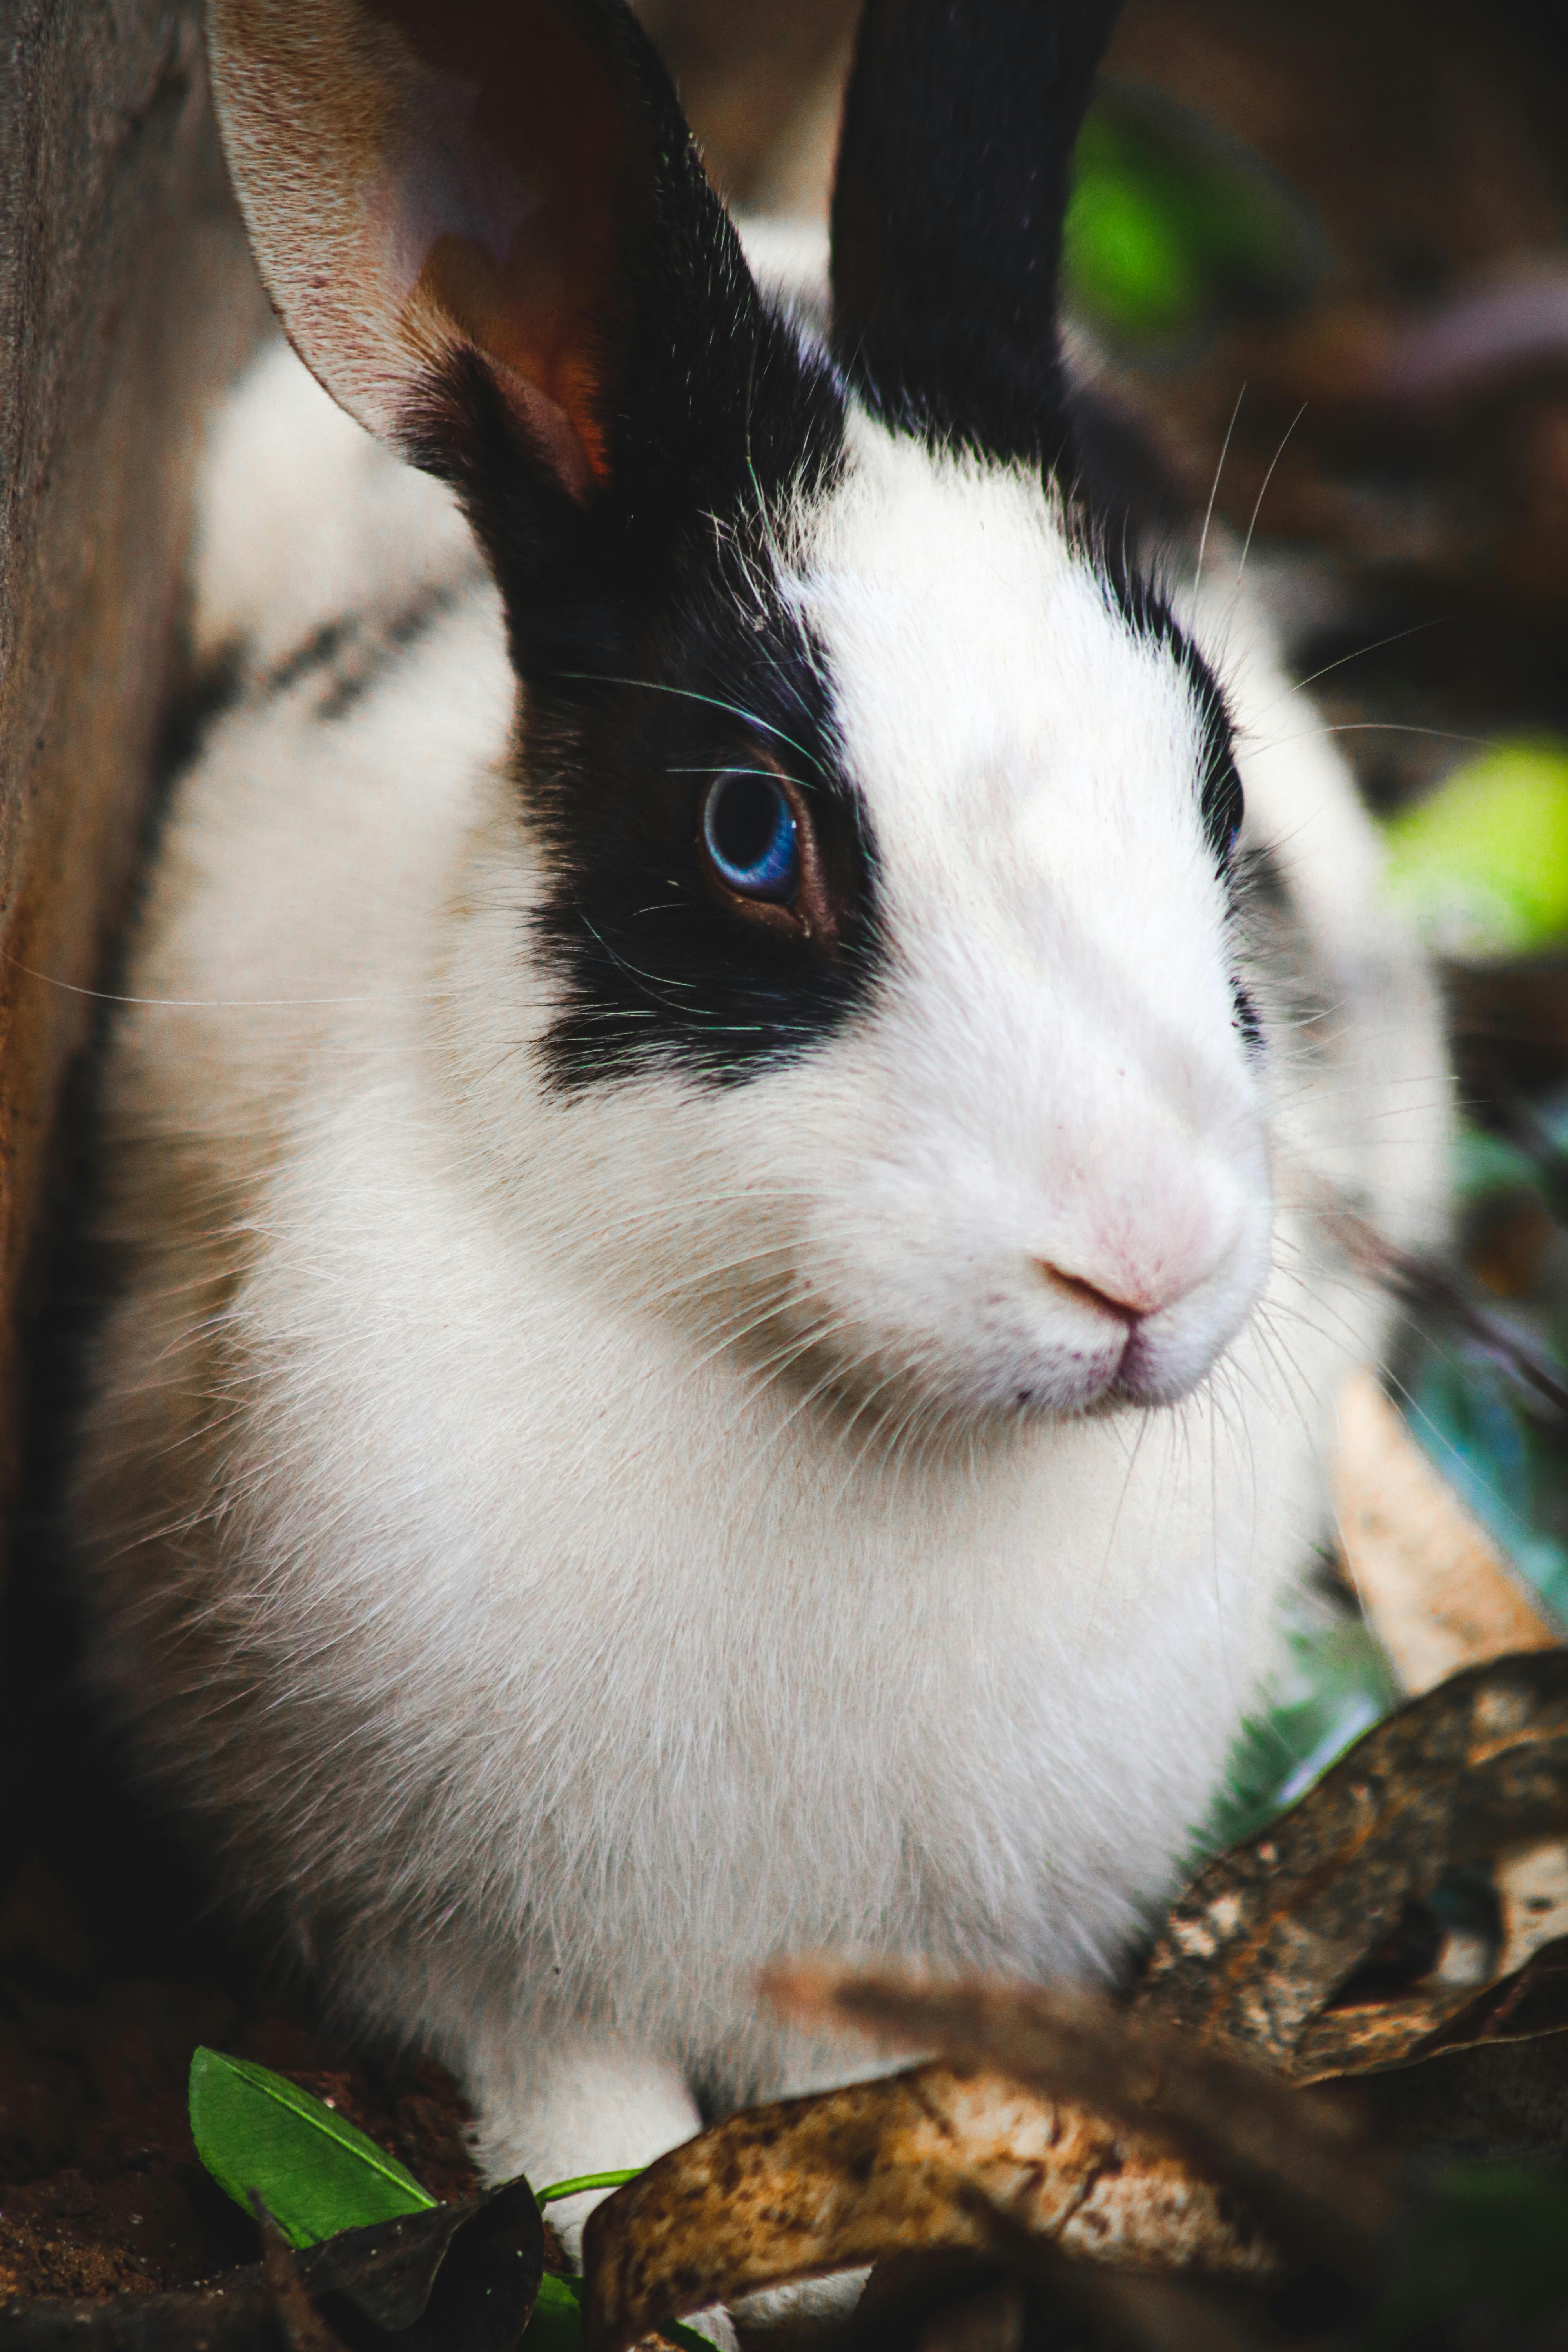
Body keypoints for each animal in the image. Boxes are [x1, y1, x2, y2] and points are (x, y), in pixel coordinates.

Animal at [69, 0, 1449, 2258]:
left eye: (1217, 779)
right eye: (747, 834)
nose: (1141, 1264)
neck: (819, 1401)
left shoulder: (881, 1985)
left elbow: (823, 2111)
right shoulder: (476, 1953)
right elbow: (583, 2130)